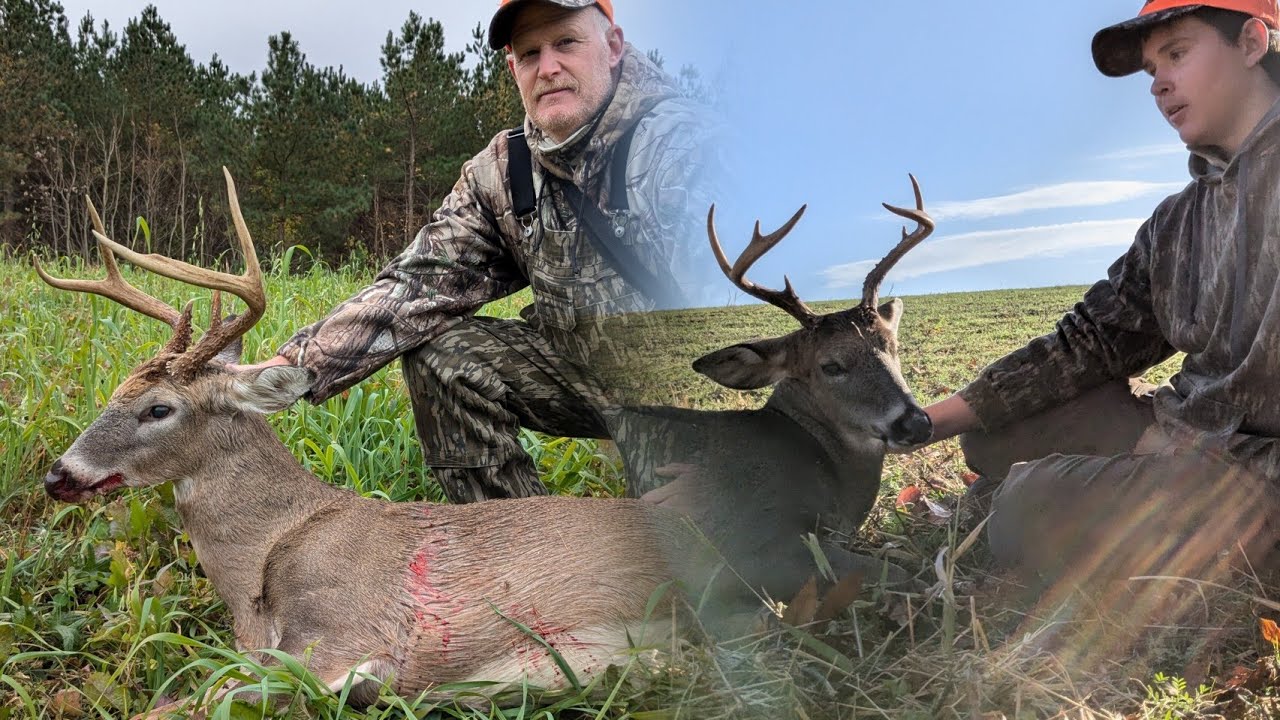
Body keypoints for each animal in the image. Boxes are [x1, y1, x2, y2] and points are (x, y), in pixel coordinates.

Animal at [35, 168, 734, 717]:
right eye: (114, 392)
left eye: (159, 408)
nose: (58, 474)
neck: (265, 559)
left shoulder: (344, 634)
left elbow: (191, 701)